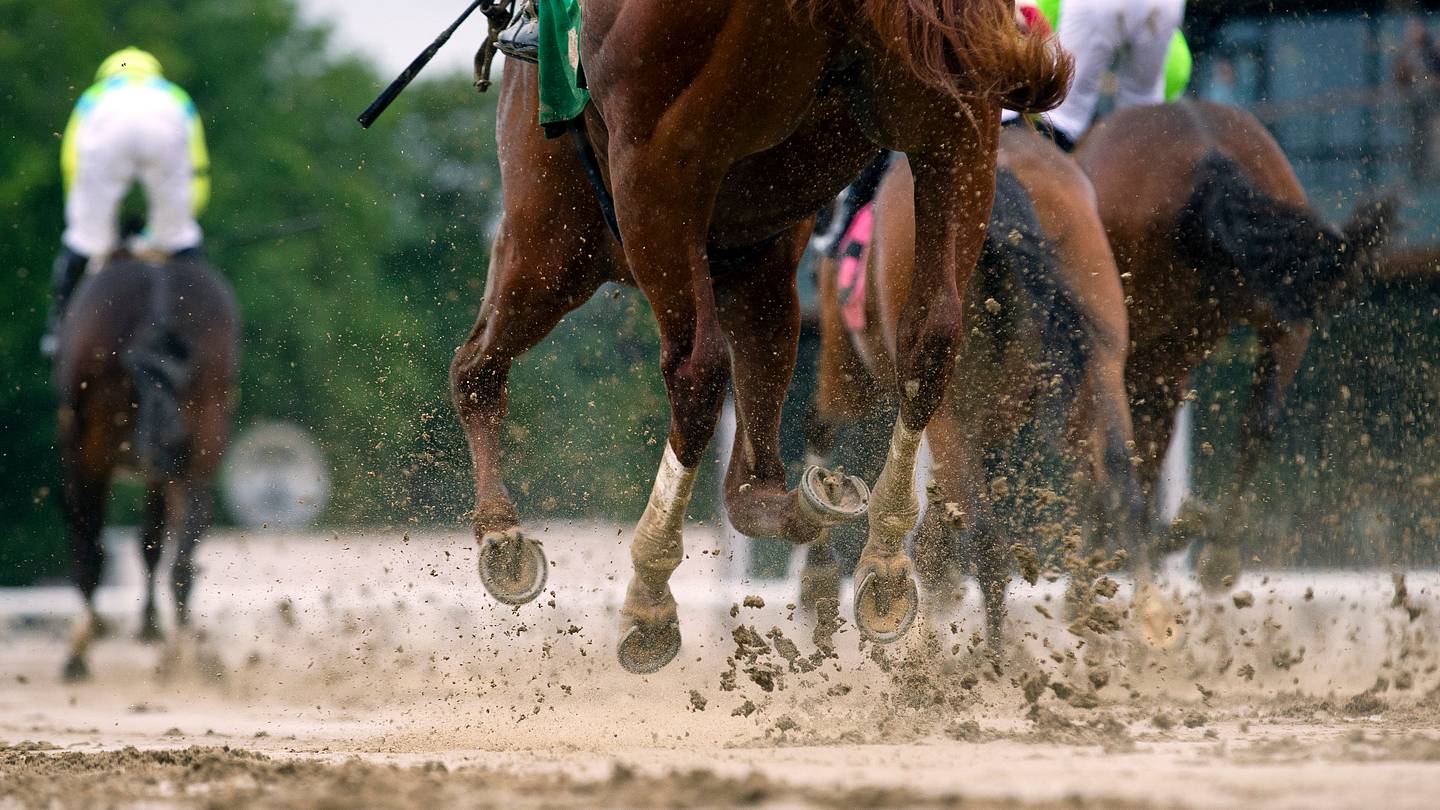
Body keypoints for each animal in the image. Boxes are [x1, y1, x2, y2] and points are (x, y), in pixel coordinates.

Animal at [53, 250, 239, 680]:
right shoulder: (166, 466)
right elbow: (151, 542)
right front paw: (151, 627)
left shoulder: (82, 454)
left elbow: (92, 541)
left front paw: (91, 641)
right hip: (201, 444)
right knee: (185, 553)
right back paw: (185, 654)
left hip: (91, 449)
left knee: (91, 543)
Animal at [802, 124, 1143, 652]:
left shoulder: (849, 368)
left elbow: (824, 430)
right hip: (1098, 368)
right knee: (1115, 484)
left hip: (936, 400)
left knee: (987, 540)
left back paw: (995, 660)